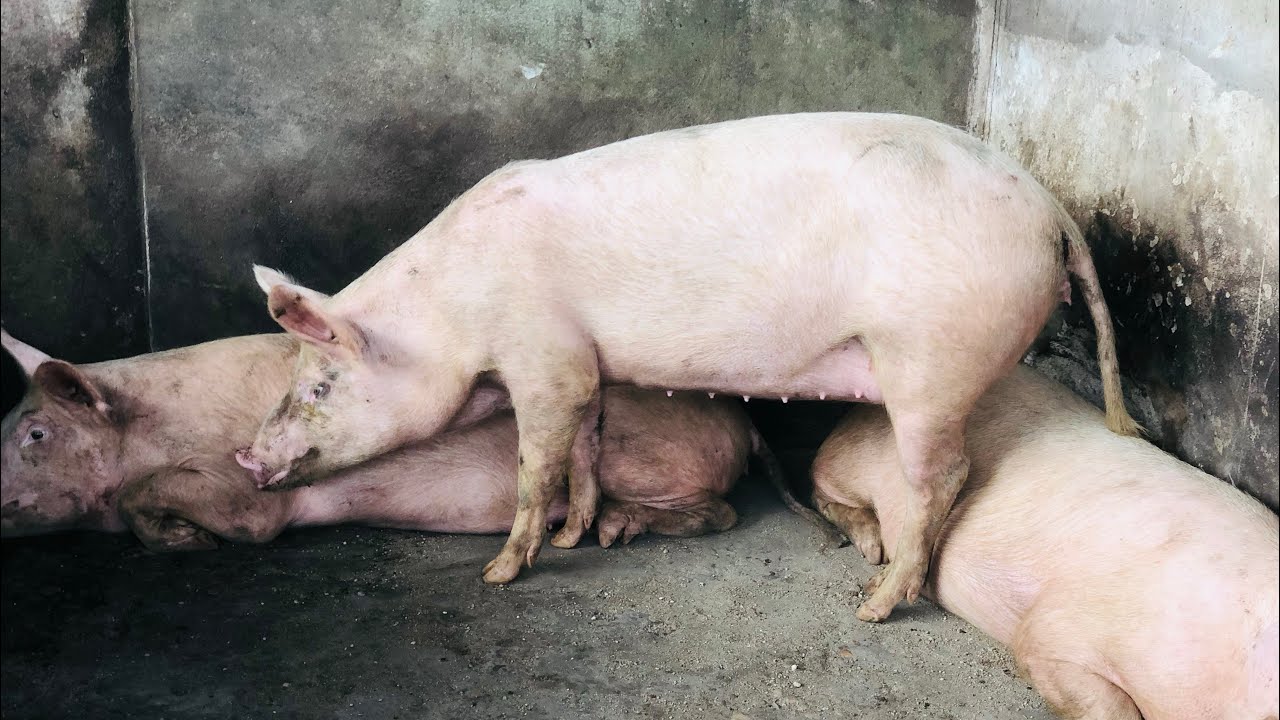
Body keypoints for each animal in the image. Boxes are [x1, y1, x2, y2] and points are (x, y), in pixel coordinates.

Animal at [2, 329, 788, 550]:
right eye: (6, 425)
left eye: (37, 432)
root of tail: (743, 421)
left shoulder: (251, 493)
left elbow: (220, 512)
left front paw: (186, 541)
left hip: (644, 457)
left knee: (720, 512)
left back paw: (614, 531)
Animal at [240, 111, 1140, 622]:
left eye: (319, 386)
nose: (246, 457)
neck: (453, 314)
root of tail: (1051, 208)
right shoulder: (588, 365)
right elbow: (586, 448)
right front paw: (575, 536)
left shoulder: (544, 356)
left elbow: (536, 464)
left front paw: (500, 575)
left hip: (933, 359)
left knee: (942, 476)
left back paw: (874, 608)